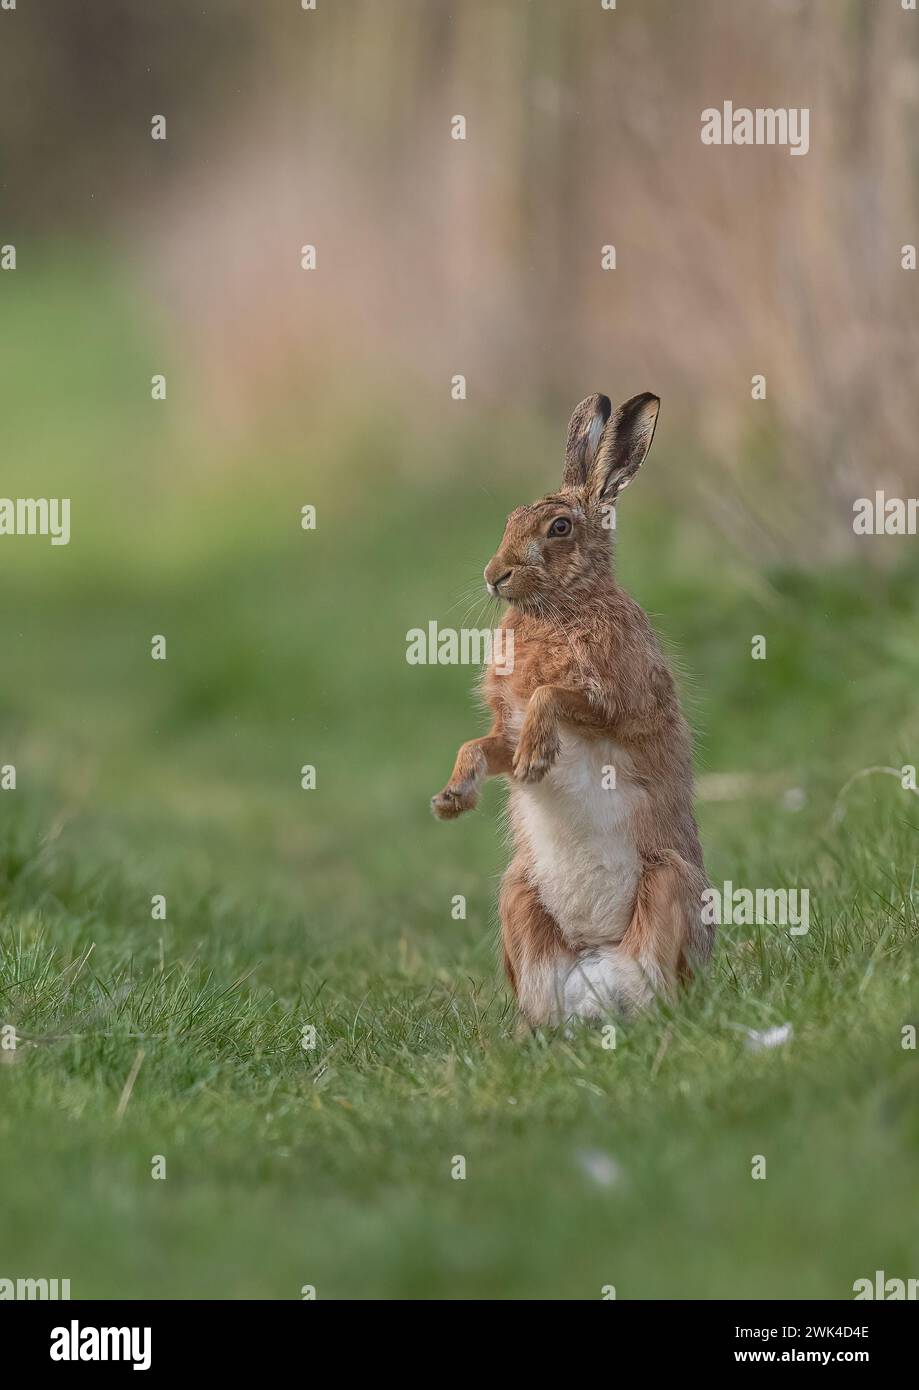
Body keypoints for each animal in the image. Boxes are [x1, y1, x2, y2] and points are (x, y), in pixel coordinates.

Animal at [431, 391, 711, 1026]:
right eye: (510, 519)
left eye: (559, 528)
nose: (494, 576)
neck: (559, 604)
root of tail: (597, 967)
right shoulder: (503, 725)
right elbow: (480, 745)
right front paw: (453, 798)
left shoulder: (624, 701)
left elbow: (551, 695)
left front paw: (539, 757)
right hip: (517, 901)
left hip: (667, 883)